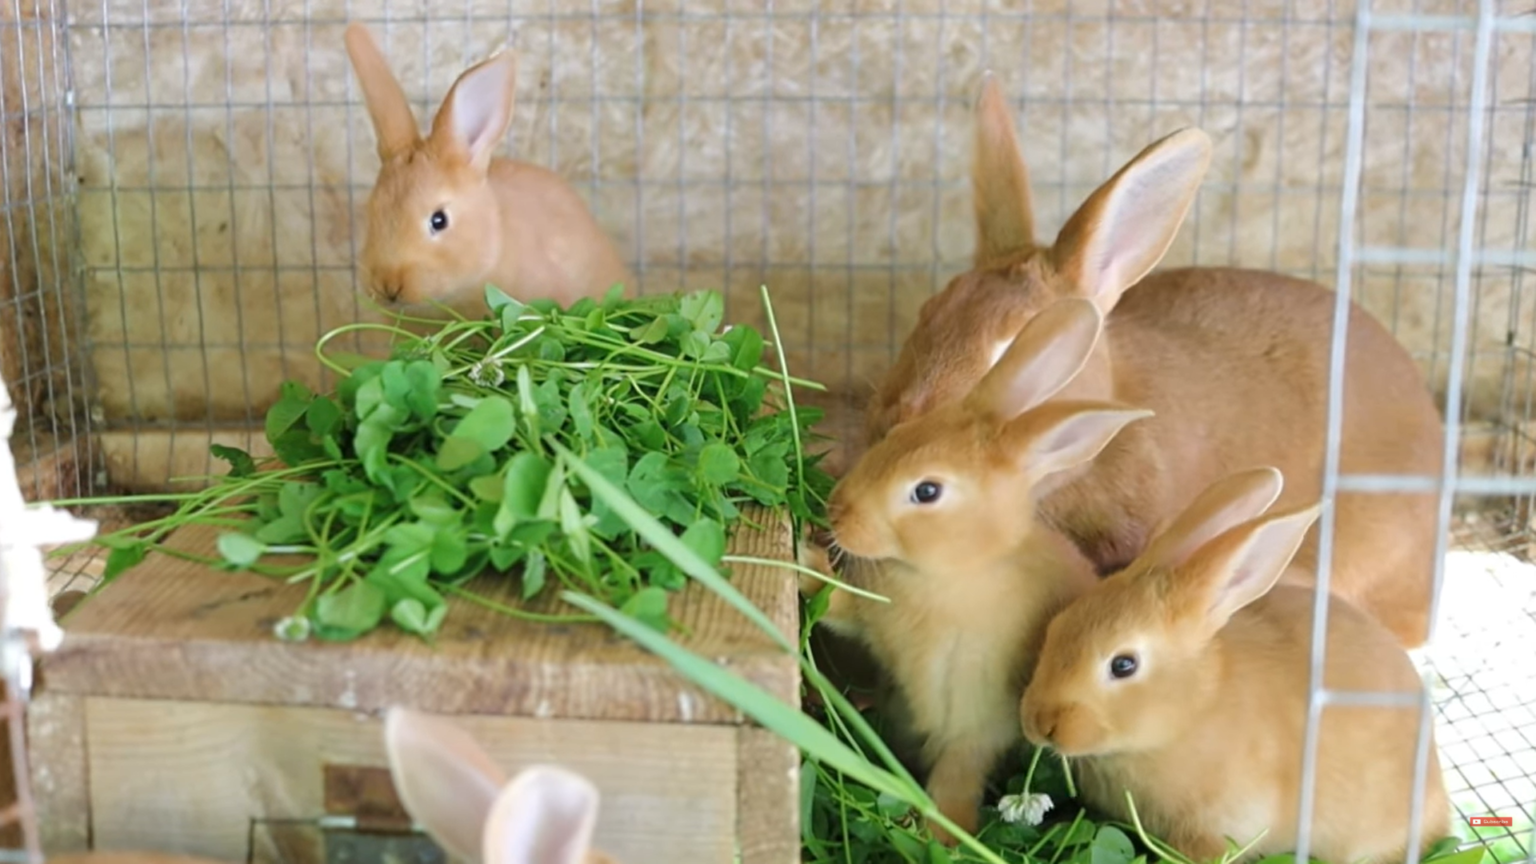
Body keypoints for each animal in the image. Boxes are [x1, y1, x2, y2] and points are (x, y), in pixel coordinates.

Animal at [821, 296, 1153, 843]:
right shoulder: (872, 616)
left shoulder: (977, 724)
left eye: (927, 491)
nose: (838, 513)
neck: (953, 574)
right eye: (896, 434)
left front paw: (945, 836)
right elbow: (837, 604)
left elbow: (956, 779)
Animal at [1019, 467, 1450, 864]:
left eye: (1123, 665)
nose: (1041, 723)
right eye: (1057, 626)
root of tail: (1437, 798)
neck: (1194, 709)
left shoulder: (1222, 825)